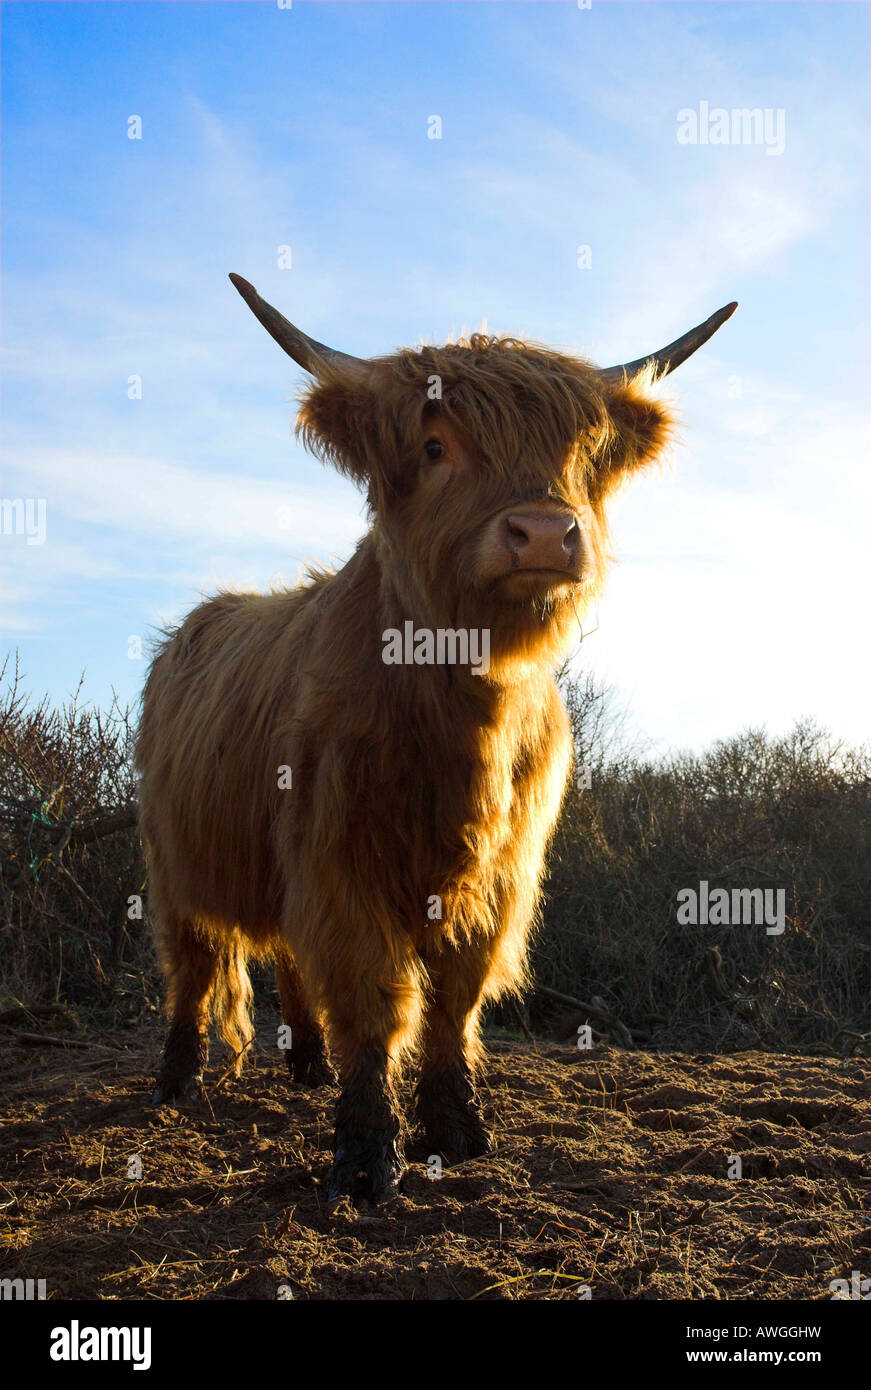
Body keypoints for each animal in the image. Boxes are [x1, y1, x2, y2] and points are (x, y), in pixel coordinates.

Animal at [136, 276, 736, 1202]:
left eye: (582, 450)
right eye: (433, 445)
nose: (542, 531)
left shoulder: (501, 873)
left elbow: (454, 998)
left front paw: (456, 1127)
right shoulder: (339, 853)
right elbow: (373, 995)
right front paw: (363, 1153)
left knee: (289, 958)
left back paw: (306, 1067)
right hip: (175, 867)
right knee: (193, 969)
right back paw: (175, 1080)